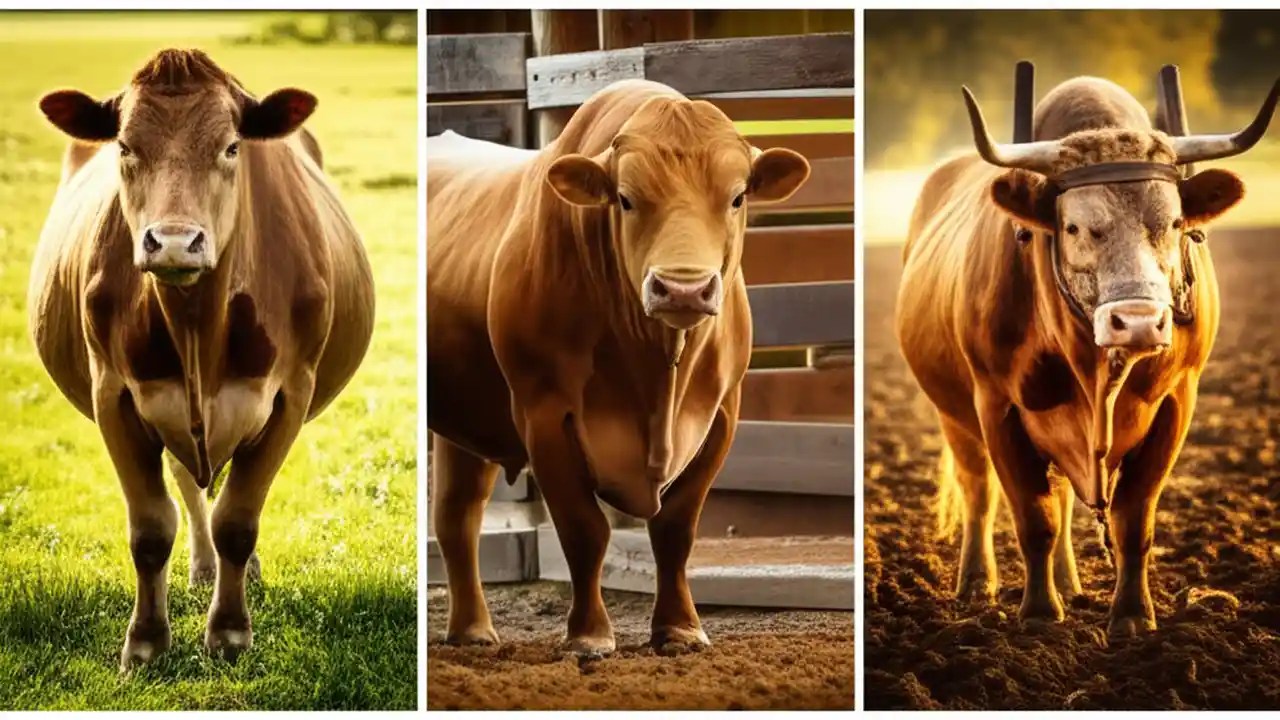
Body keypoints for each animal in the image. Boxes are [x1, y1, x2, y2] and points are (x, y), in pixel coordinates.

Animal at [30, 49, 375, 669]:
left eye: (232, 147)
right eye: (125, 147)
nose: (172, 241)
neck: (196, 326)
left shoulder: (291, 394)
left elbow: (238, 518)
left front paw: (230, 633)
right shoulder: (112, 394)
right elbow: (151, 527)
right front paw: (145, 642)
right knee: (189, 484)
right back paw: (204, 567)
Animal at [427, 79, 809, 654]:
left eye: (738, 196)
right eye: (626, 199)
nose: (683, 288)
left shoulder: (723, 412)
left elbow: (676, 529)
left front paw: (680, 629)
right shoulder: (544, 414)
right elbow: (584, 530)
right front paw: (589, 635)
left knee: (458, 511)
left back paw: (472, 629)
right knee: (457, 516)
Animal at [896, 74, 1278, 639]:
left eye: (1175, 222)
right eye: (1074, 227)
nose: (1139, 321)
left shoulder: (1177, 402)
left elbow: (1132, 520)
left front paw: (1133, 614)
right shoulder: (997, 406)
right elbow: (1033, 518)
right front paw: (1037, 613)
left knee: (1061, 498)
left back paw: (1069, 583)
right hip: (954, 414)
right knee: (979, 492)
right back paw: (977, 584)